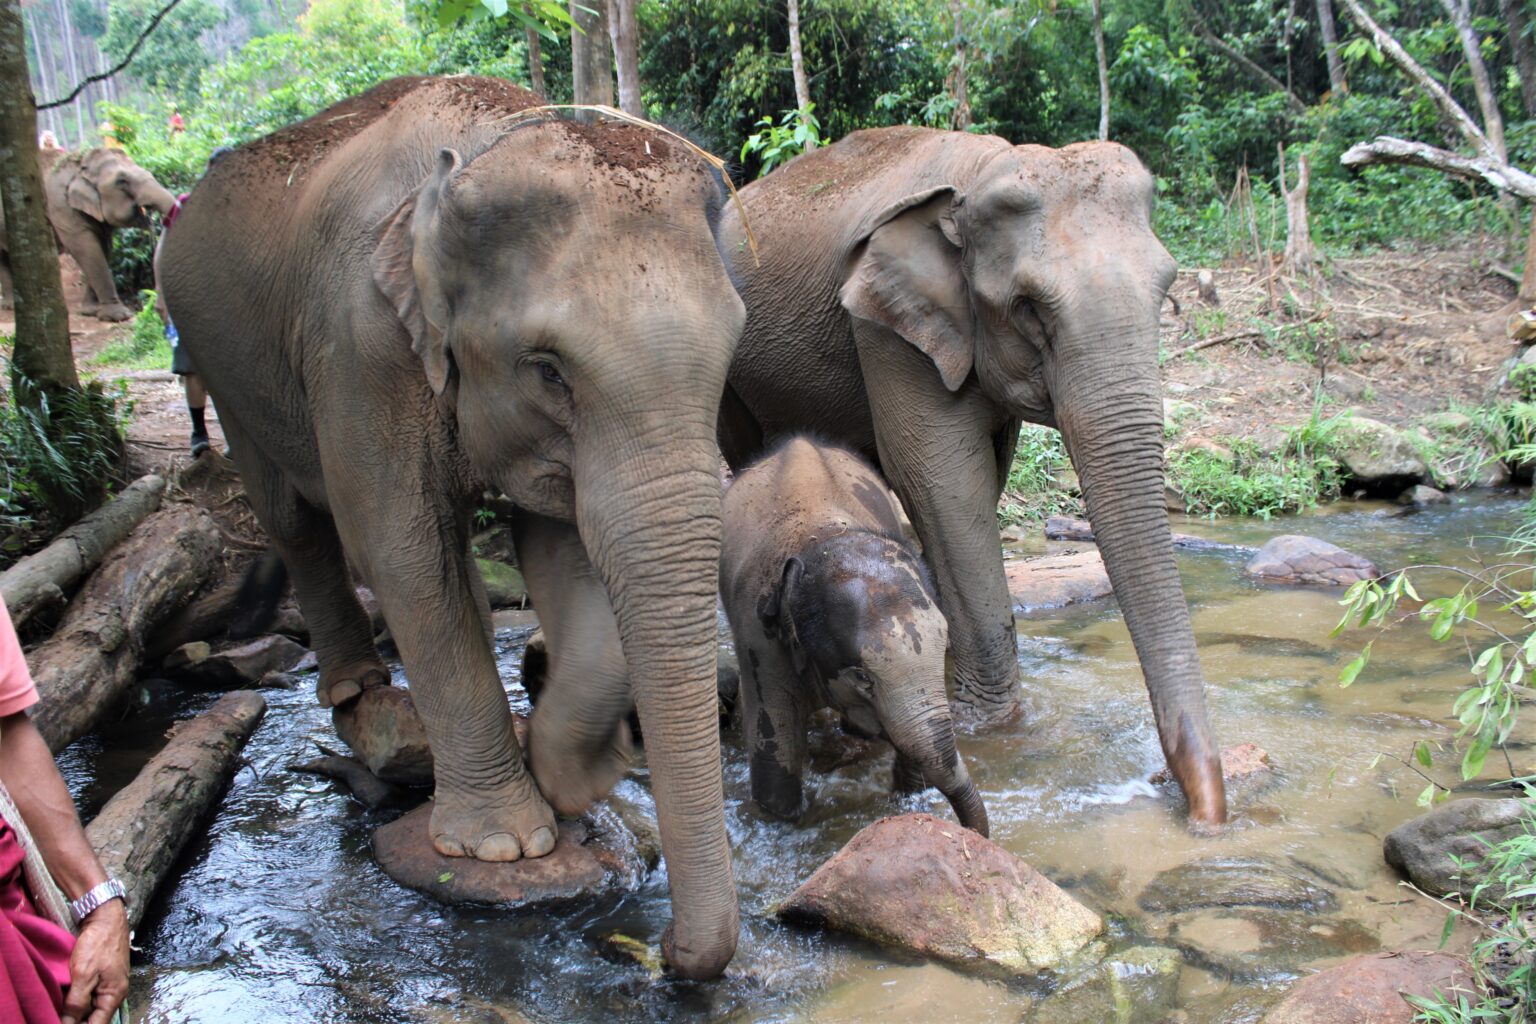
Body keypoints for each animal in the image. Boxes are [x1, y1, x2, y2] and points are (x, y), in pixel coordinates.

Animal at [0, 147, 178, 322]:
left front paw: (90, 310)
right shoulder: (61, 207)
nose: (160, 310)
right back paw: (11, 306)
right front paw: (118, 316)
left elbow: (104, 250)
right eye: (121, 181)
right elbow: (87, 249)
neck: (81, 166)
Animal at [158, 76, 744, 979]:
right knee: (294, 517)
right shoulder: (360, 345)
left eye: (735, 347)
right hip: (223, 358)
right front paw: (505, 846)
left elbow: (566, 545)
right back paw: (360, 697)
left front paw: (576, 777)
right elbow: (401, 549)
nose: (668, 952)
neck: (481, 146)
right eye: (549, 370)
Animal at [719, 436, 989, 836]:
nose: (970, 831)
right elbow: (775, 768)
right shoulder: (759, 637)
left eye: (943, 653)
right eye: (863, 678)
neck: (826, 536)